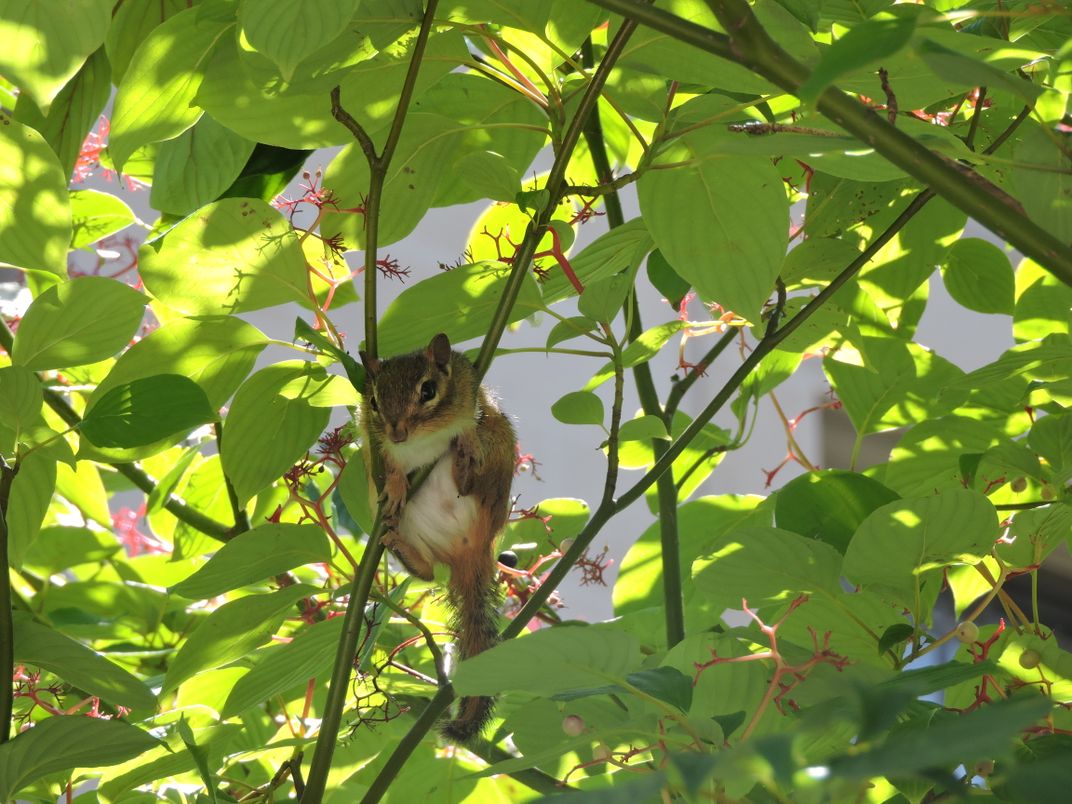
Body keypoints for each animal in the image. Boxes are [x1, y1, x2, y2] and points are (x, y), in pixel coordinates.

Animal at [359, 333, 515, 743]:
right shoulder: (375, 444)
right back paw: (402, 546)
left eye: (428, 390)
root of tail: (471, 549)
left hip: (500, 459)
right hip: (404, 522)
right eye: (374, 401)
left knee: (481, 475)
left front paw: (468, 441)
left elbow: (476, 418)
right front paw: (397, 483)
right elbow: (389, 464)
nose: (397, 433)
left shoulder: (475, 394)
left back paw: (464, 465)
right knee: (427, 571)